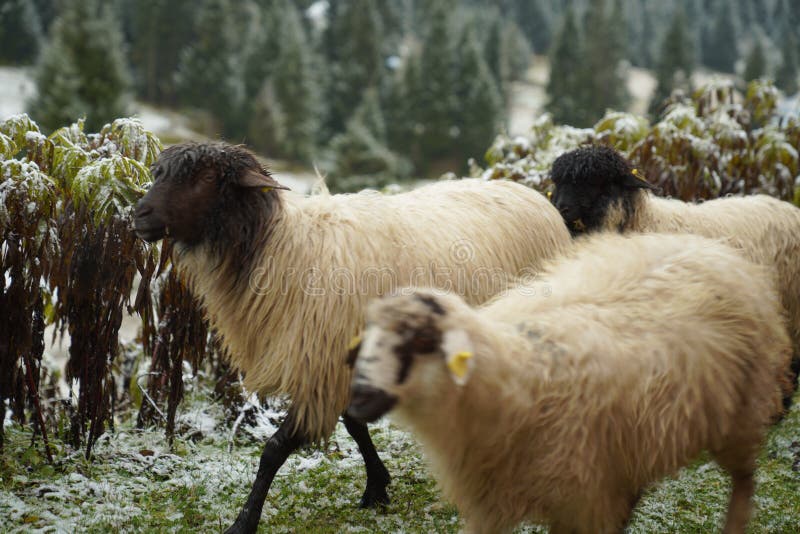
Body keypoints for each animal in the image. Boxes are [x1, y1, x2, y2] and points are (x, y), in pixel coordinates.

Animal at [132, 141, 571, 533]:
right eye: (159, 173)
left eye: (205, 177)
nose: (138, 214)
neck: (276, 249)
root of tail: (537, 199)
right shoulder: (339, 362)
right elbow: (355, 424)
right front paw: (377, 486)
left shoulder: (320, 364)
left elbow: (275, 450)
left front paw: (244, 522)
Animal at [347, 232, 794, 534]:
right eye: (368, 336)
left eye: (421, 340)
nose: (357, 399)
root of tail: (716, 248)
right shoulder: (489, 501)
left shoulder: (583, 498)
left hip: (741, 411)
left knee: (744, 483)